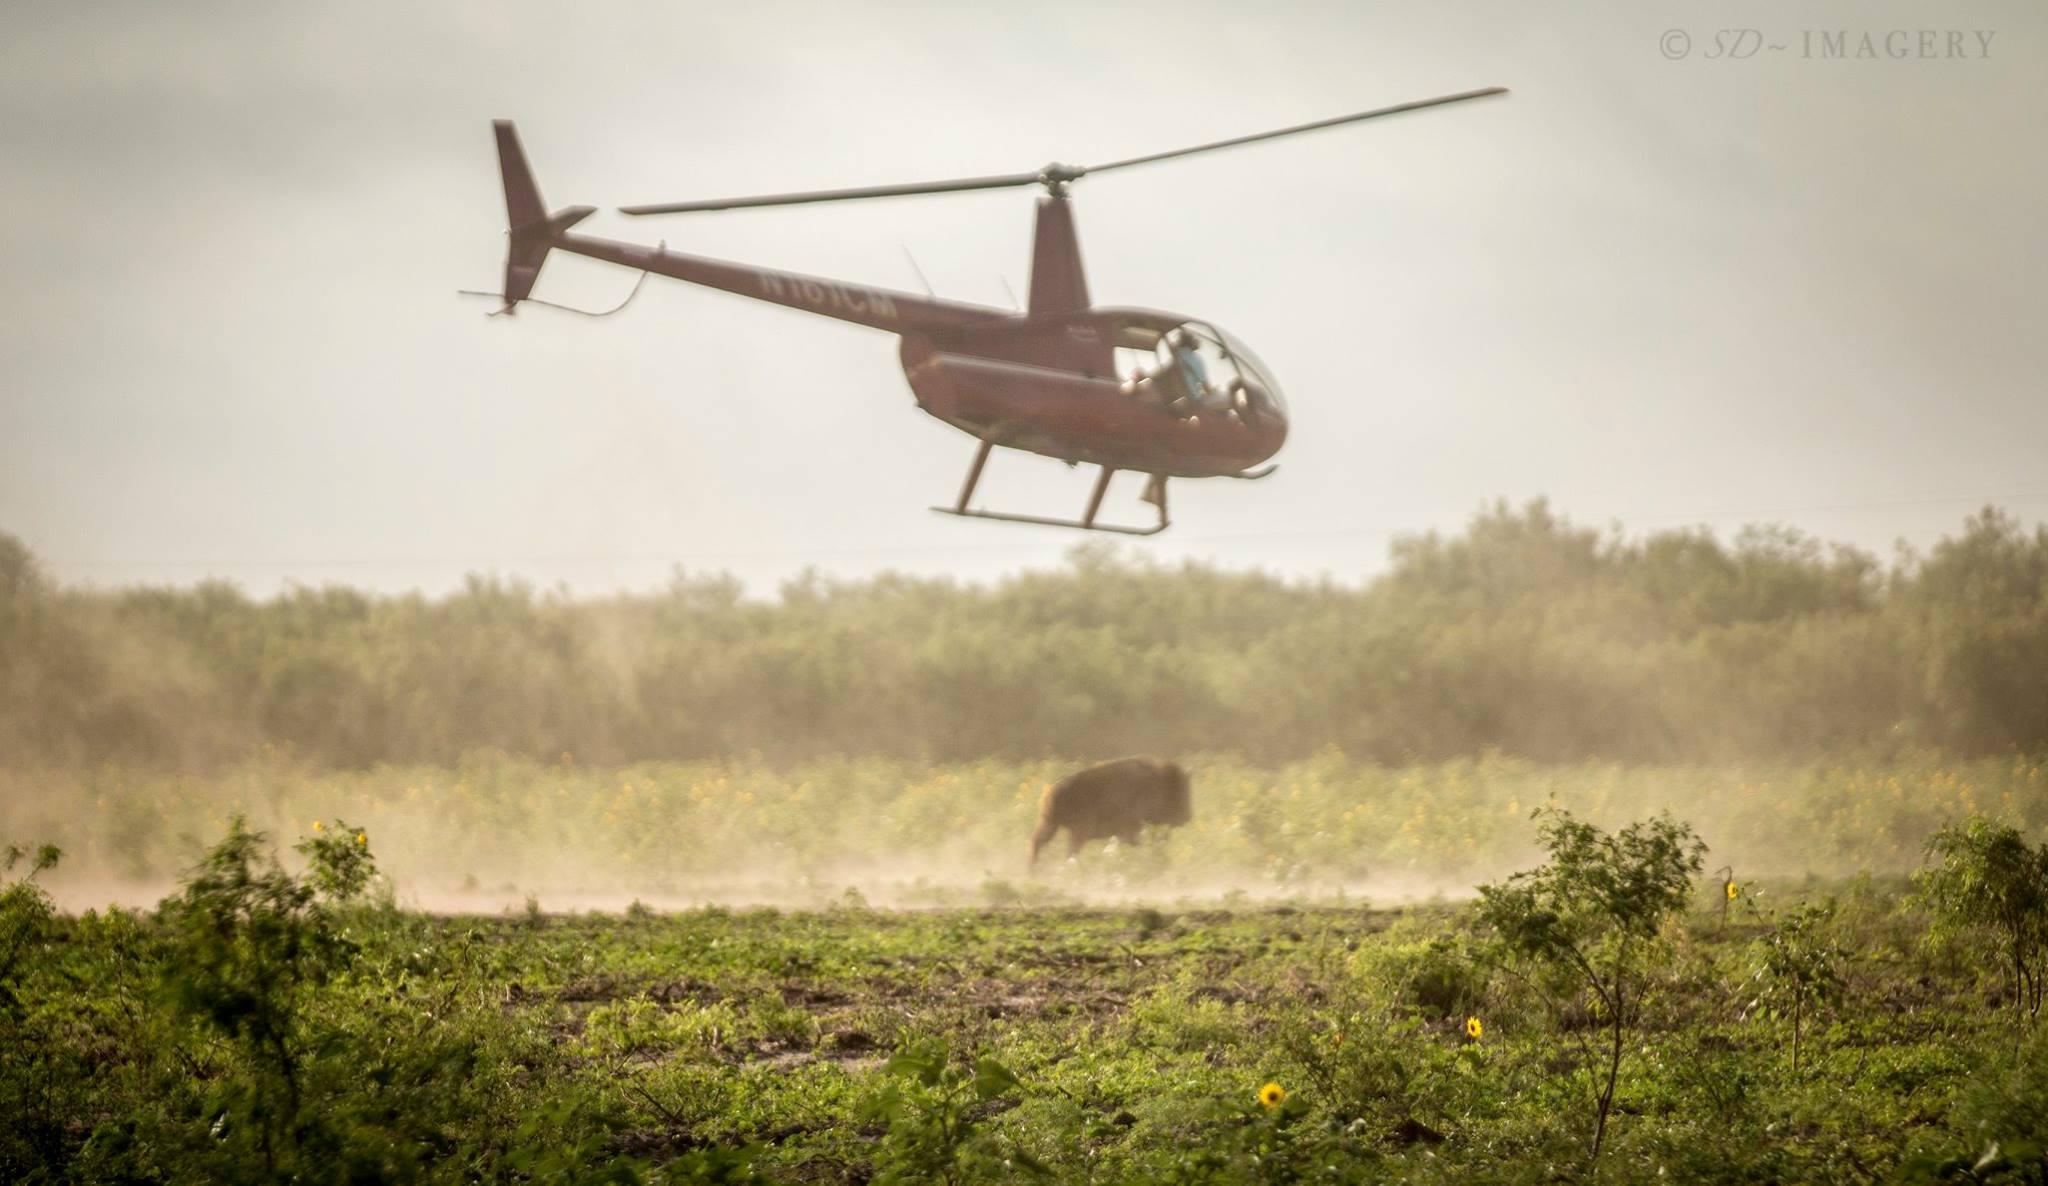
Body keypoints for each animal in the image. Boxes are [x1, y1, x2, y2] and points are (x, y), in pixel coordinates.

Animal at [1029, 757, 1192, 866]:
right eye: (1177, 792)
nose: (1187, 817)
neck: (1155, 783)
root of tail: (1050, 792)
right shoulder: (1131, 828)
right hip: (1072, 830)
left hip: (1051, 825)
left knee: (1039, 843)